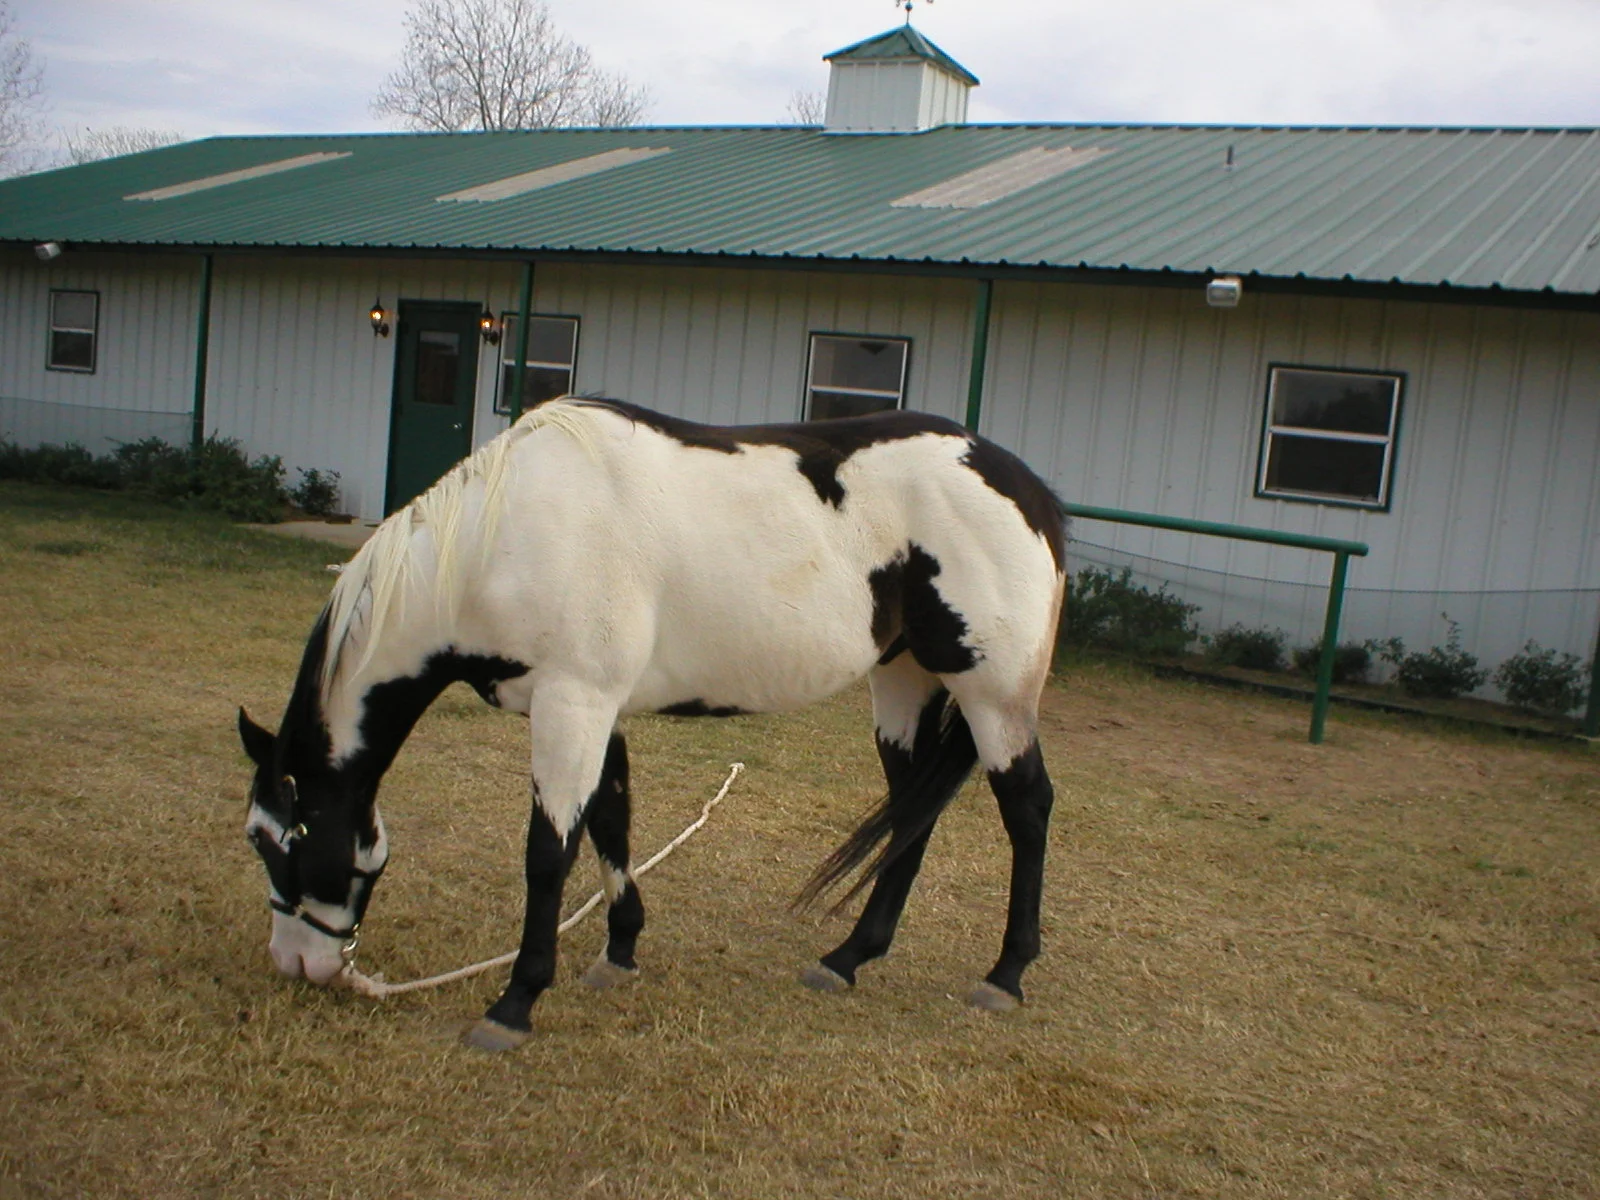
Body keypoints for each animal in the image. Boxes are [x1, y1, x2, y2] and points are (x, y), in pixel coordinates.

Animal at [237, 397, 1067, 1052]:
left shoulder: (571, 704)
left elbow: (549, 854)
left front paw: (514, 1003)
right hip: (903, 680)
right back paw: (848, 958)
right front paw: (620, 952)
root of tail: (1029, 490)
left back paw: (1006, 975)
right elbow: (612, 822)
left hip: (992, 698)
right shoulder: (594, 709)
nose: (298, 965)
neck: (501, 535)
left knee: (1027, 810)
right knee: (909, 817)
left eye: (276, 841)